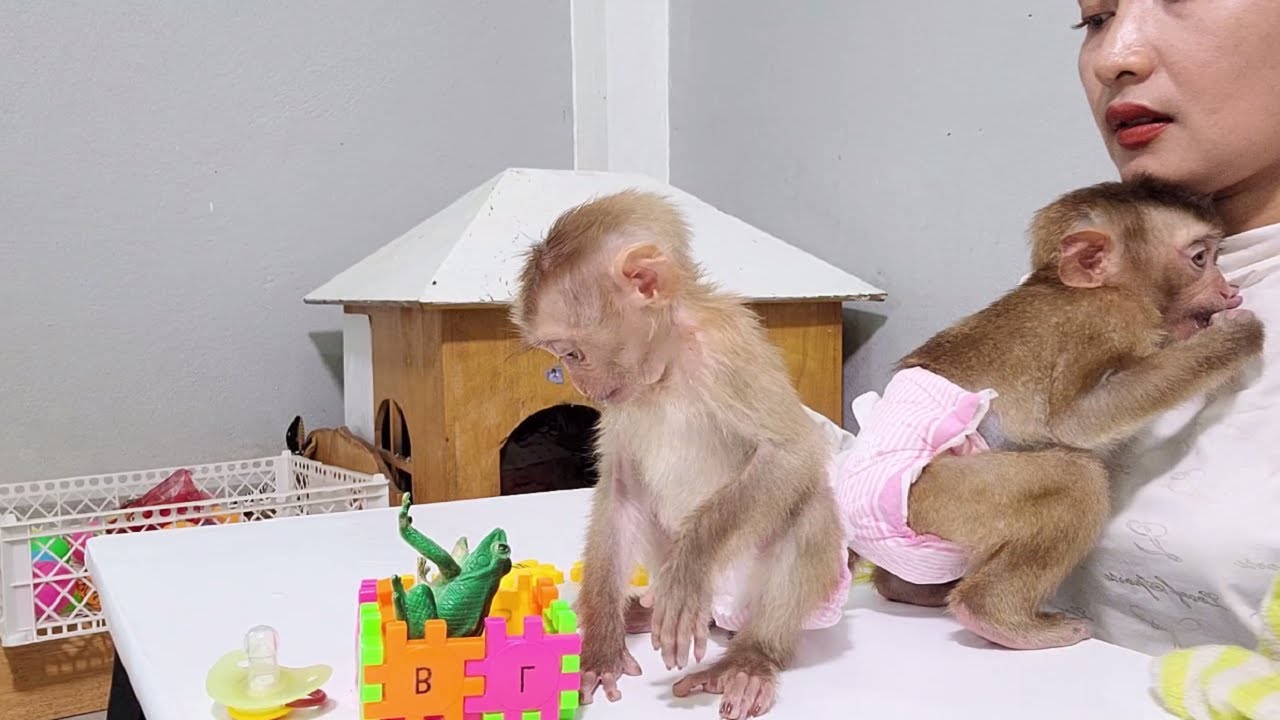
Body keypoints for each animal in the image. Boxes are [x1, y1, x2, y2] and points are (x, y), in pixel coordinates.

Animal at [511, 189, 850, 719]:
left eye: (572, 355)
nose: (579, 387)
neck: (666, 366)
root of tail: (725, 615)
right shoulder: (621, 402)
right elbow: (621, 493)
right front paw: (600, 646)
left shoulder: (727, 347)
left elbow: (791, 452)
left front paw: (690, 570)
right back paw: (635, 612)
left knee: (808, 505)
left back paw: (750, 659)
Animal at [841, 176, 1265, 650]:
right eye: (1200, 258)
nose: (1230, 290)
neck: (1081, 287)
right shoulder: (1110, 317)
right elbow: (1075, 420)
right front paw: (1238, 335)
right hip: (930, 498)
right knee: (1075, 479)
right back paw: (996, 615)